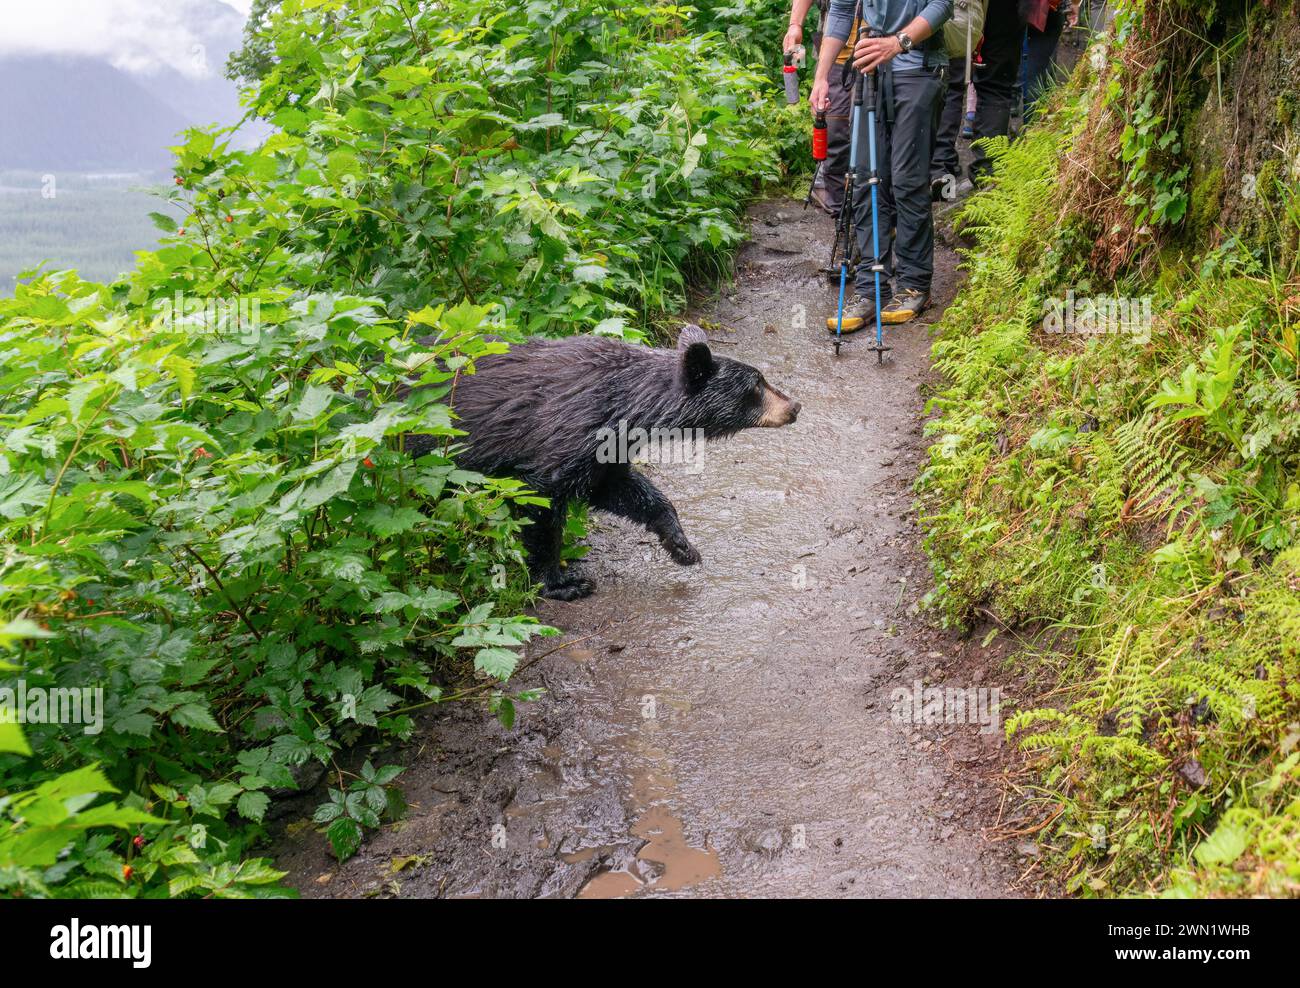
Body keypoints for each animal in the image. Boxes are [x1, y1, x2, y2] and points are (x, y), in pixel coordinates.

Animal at [406, 324, 800, 600]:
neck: (624, 403)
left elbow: (621, 488)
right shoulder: (566, 433)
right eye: (757, 384)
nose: (795, 406)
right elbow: (541, 501)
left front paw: (681, 546)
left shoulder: (604, 448)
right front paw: (561, 582)